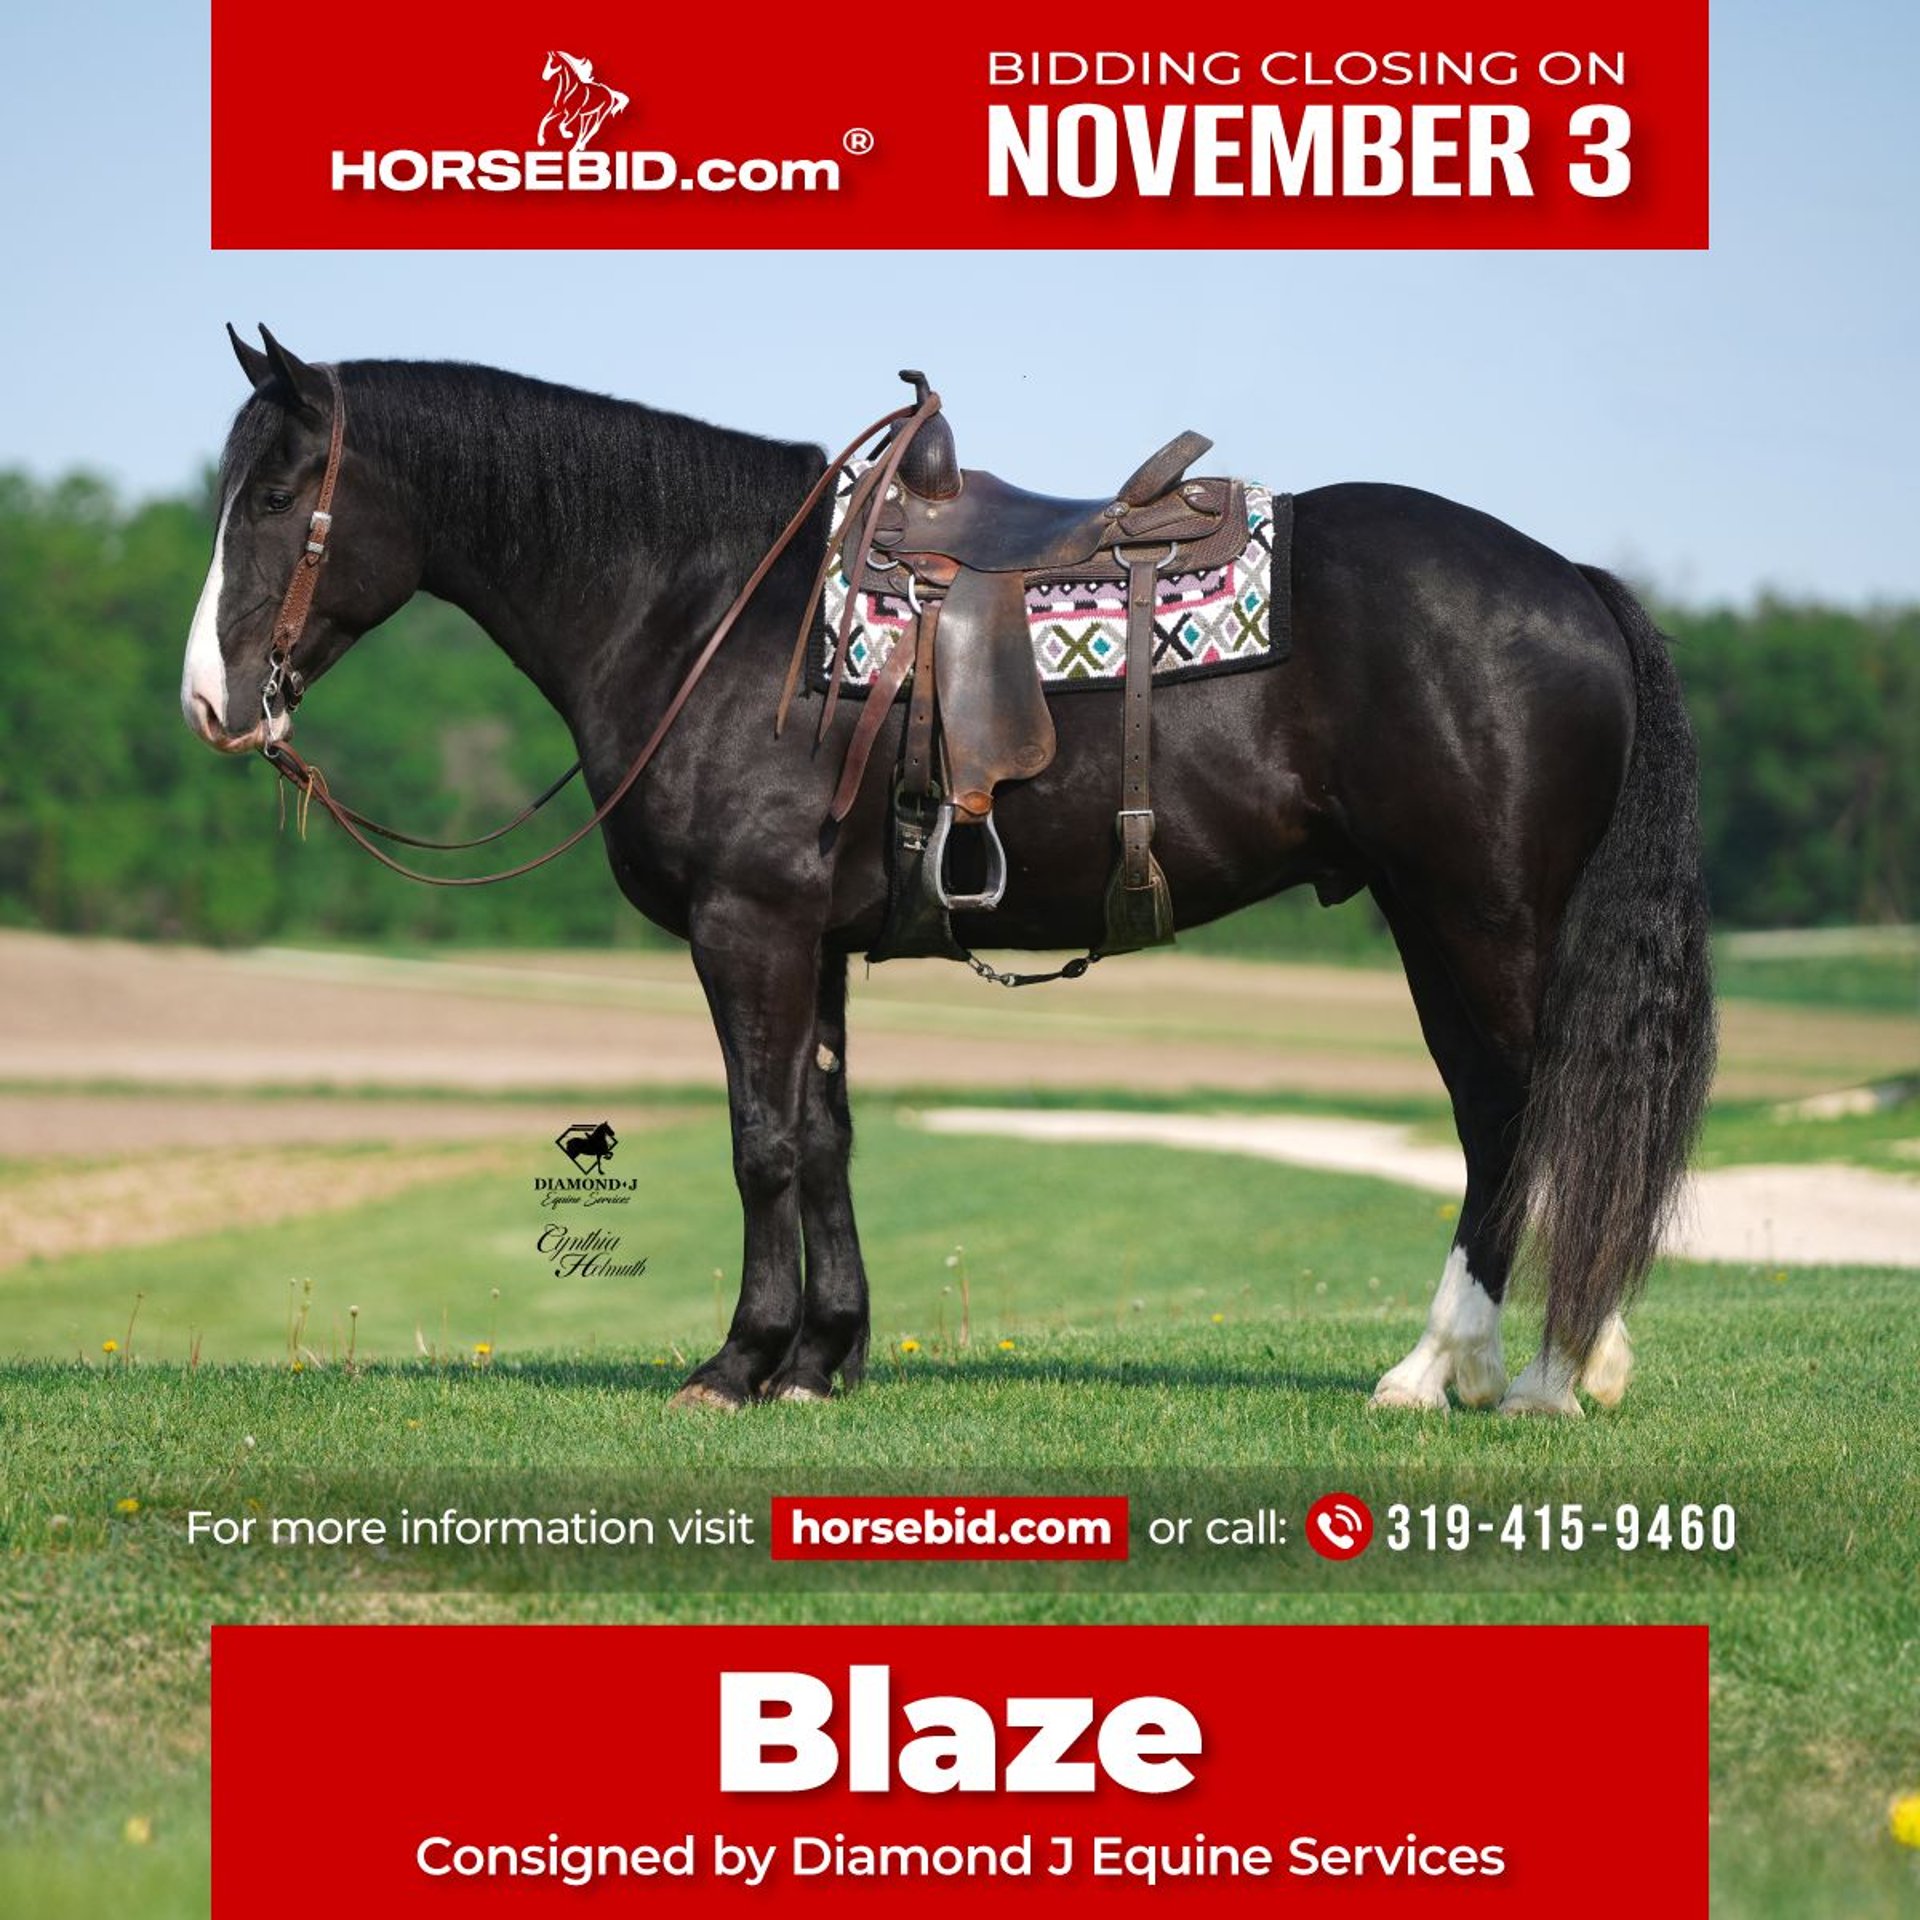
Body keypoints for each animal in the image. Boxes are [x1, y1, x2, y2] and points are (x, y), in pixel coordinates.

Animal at [181, 328, 1715, 1418]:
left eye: (279, 492)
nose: (210, 699)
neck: (706, 607)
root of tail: (1573, 582)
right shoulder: (815, 942)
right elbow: (828, 1139)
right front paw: (822, 1361)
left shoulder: (746, 929)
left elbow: (760, 1143)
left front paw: (737, 1366)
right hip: (1436, 916)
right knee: (1501, 1118)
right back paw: (1527, 1364)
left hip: (1477, 915)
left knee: (1521, 1114)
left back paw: (1496, 1371)